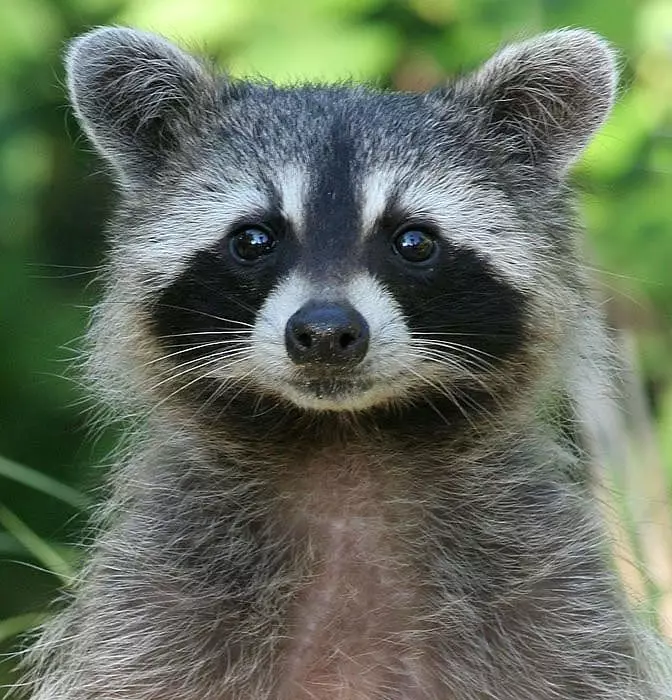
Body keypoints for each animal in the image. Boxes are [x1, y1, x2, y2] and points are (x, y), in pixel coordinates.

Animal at [21, 23, 672, 700]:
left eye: (413, 241)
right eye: (254, 239)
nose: (326, 333)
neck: (344, 441)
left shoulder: (554, 596)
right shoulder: (154, 595)